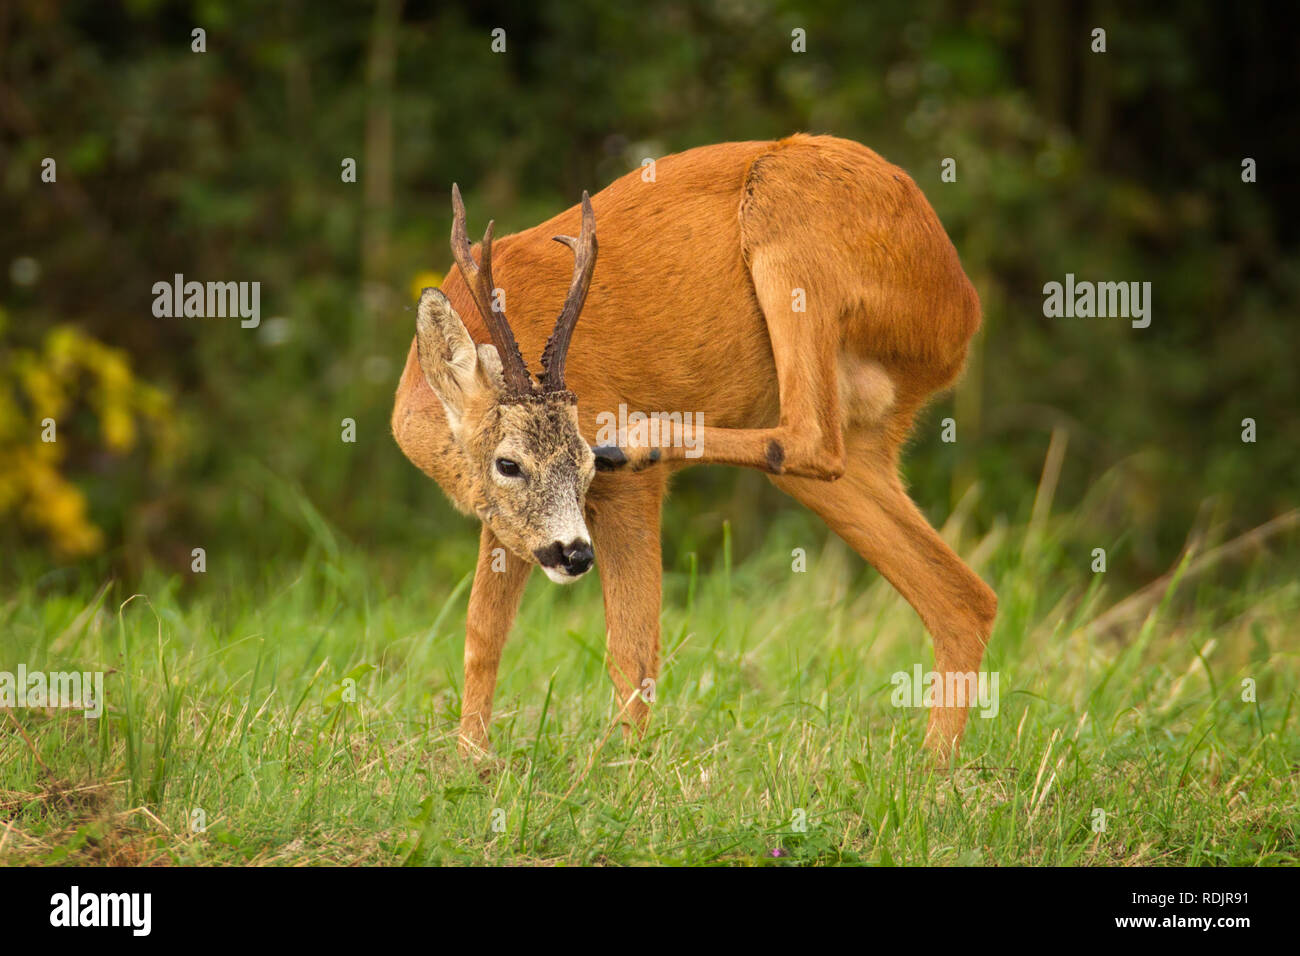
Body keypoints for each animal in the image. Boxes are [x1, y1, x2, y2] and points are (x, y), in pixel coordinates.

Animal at [391, 133, 997, 763]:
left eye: (583, 467)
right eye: (507, 463)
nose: (575, 555)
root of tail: (963, 305)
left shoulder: (622, 491)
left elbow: (632, 648)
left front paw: (624, 769)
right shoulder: (507, 522)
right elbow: (481, 635)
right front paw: (472, 762)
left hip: (787, 221)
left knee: (811, 436)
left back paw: (641, 439)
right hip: (864, 440)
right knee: (964, 598)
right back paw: (934, 766)